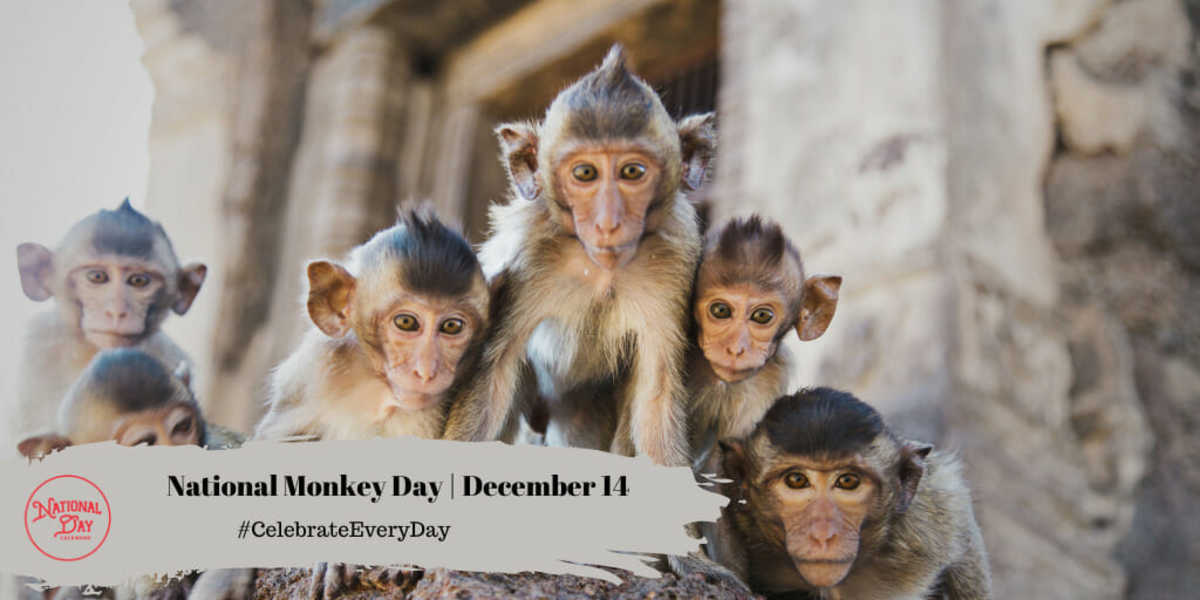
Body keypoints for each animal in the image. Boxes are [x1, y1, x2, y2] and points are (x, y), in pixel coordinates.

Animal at [443, 44, 716, 470]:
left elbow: (656, 398)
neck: (602, 269)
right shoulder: (528, 254)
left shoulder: (672, 262)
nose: (608, 222)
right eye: (585, 173)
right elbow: (495, 376)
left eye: (632, 171)